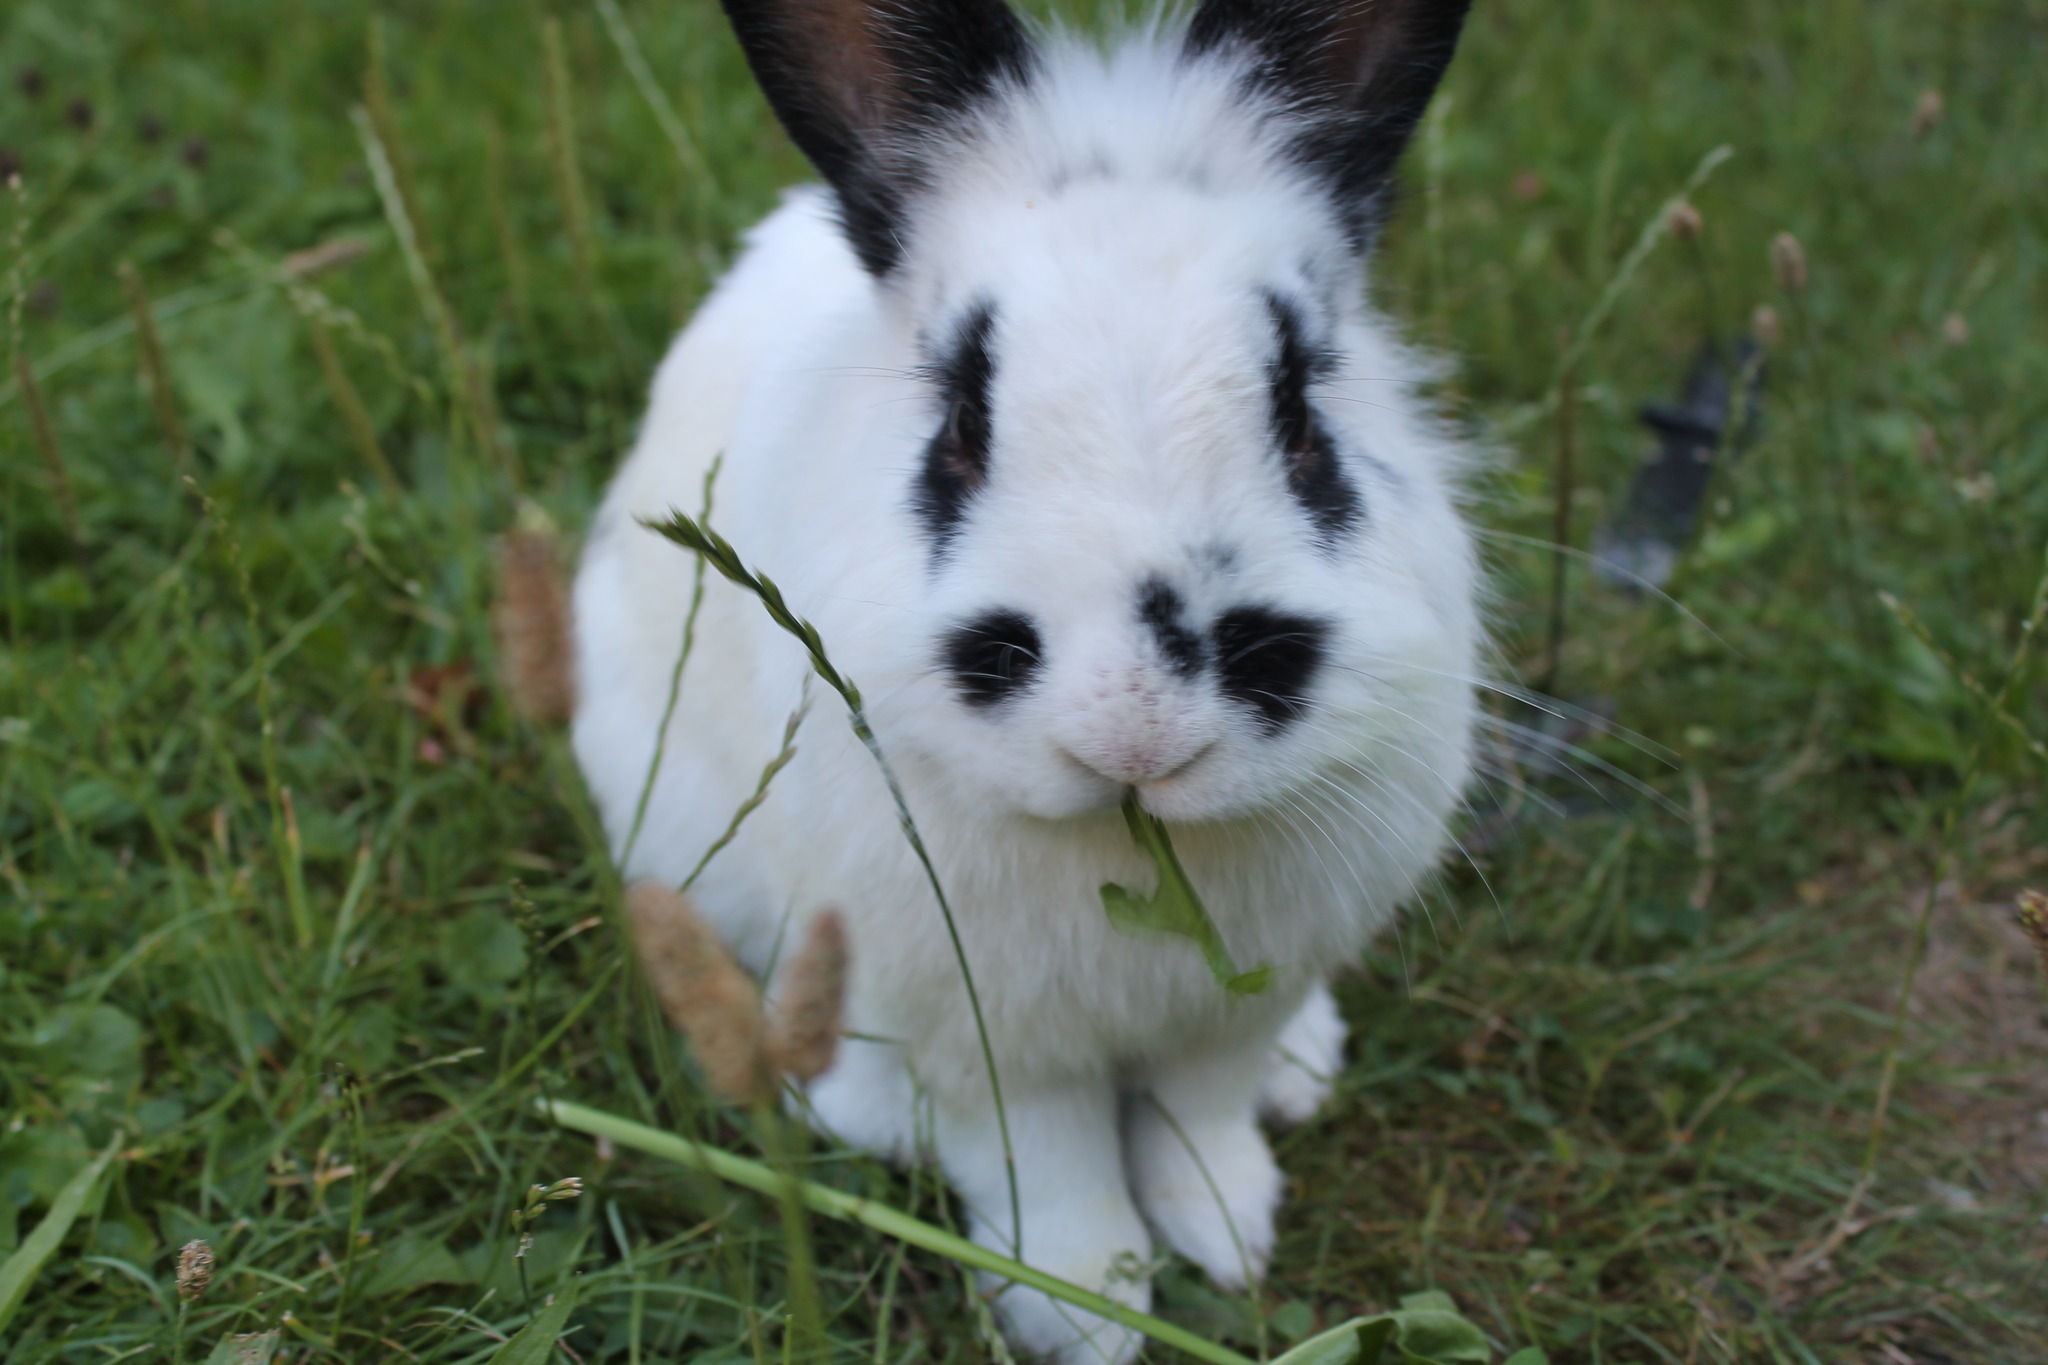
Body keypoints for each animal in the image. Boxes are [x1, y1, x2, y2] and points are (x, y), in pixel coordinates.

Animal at [572, 0, 1481, 1359]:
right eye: (959, 421)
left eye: (1299, 412)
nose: (1134, 727)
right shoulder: (980, 1029)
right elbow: (1046, 1171)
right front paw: (1083, 1310)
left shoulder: (1234, 1003)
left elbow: (1200, 1115)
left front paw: (1225, 1236)